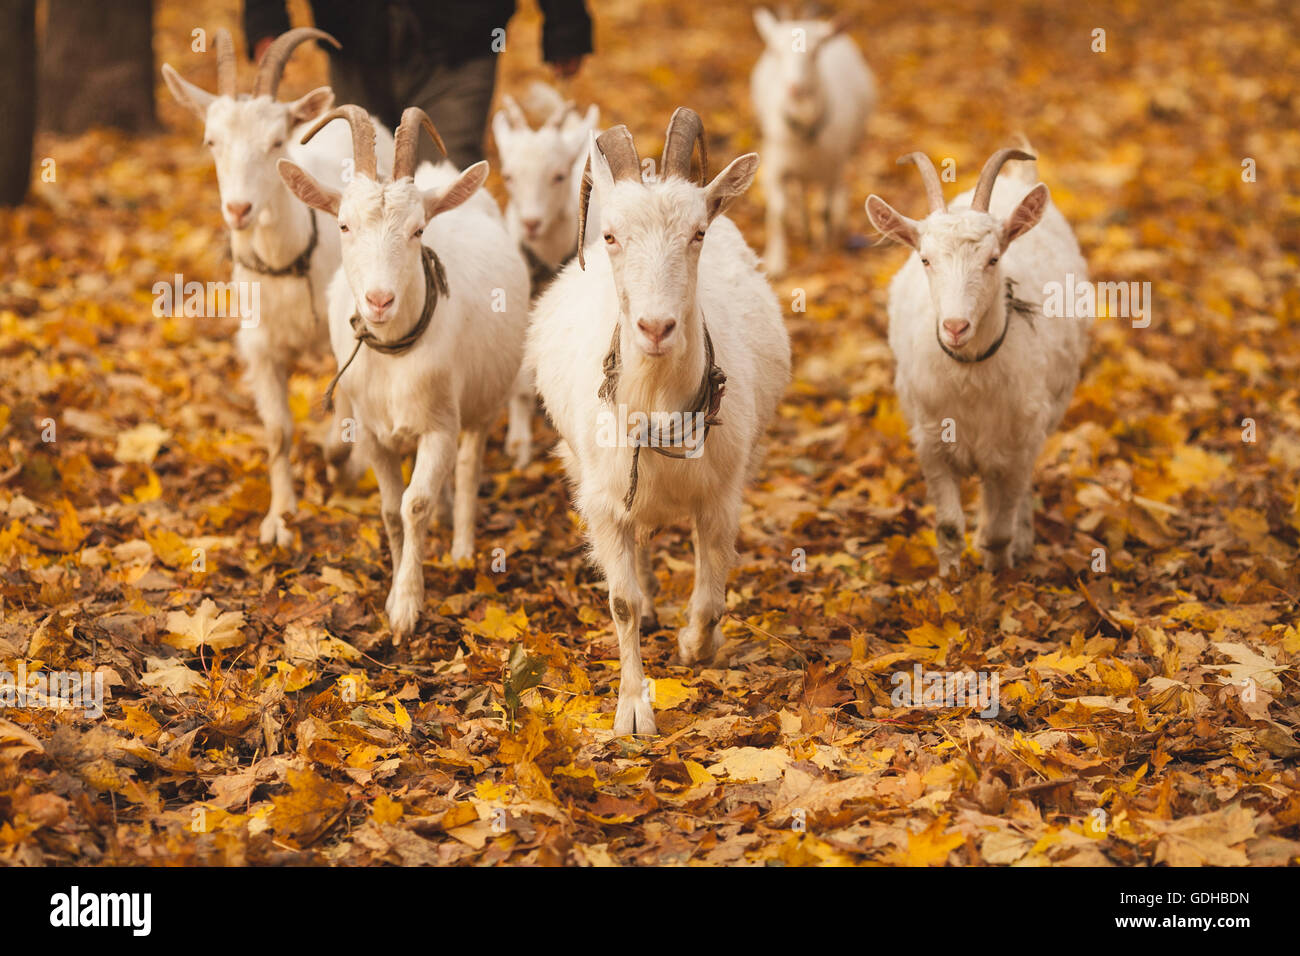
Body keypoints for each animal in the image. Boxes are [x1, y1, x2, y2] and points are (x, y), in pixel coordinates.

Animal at [162, 28, 395, 547]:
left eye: (274, 142)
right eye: (211, 140)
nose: (239, 210)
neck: (289, 262)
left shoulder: (345, 337)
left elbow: (343, 424)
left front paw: (344, 468)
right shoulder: (260, 346)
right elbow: (277, 432)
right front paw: (280, 519)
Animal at [278, 106, 529, 643]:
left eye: (418, 230)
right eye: (343, 225)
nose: (379, 300)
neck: (394, 356)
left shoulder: (440, 426)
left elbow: (416, 504)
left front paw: (407, 606)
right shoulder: (372, 432)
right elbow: (393, 509)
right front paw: (396, 587)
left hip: (482, 402)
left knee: (469, 465)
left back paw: (461, 547)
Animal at [526, 109, 791, 734]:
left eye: (697, 233)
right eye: (610, 235)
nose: (655, 327)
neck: (658, 407)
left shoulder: (721, 492)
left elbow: (713, 591)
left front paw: (696, 645)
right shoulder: (603, 501)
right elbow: (619, 601)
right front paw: (633, 711)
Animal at [751, 7, 876, 275]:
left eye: (817, 52)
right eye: (775, 51)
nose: (794, 88)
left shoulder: (831, 168)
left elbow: (824, 210)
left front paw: (823, 248)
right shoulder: (774, 166)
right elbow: (779, 211)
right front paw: (776, 262)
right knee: (799, 190)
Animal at [865, 148, 1092, 575]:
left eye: (993, 259)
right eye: (925, 259)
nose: (956, 327)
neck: (969, 373)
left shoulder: (1020, 443)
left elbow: (1000, 526)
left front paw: (998, 572)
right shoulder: (930, 441)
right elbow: (950, 527)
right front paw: (950, 578)